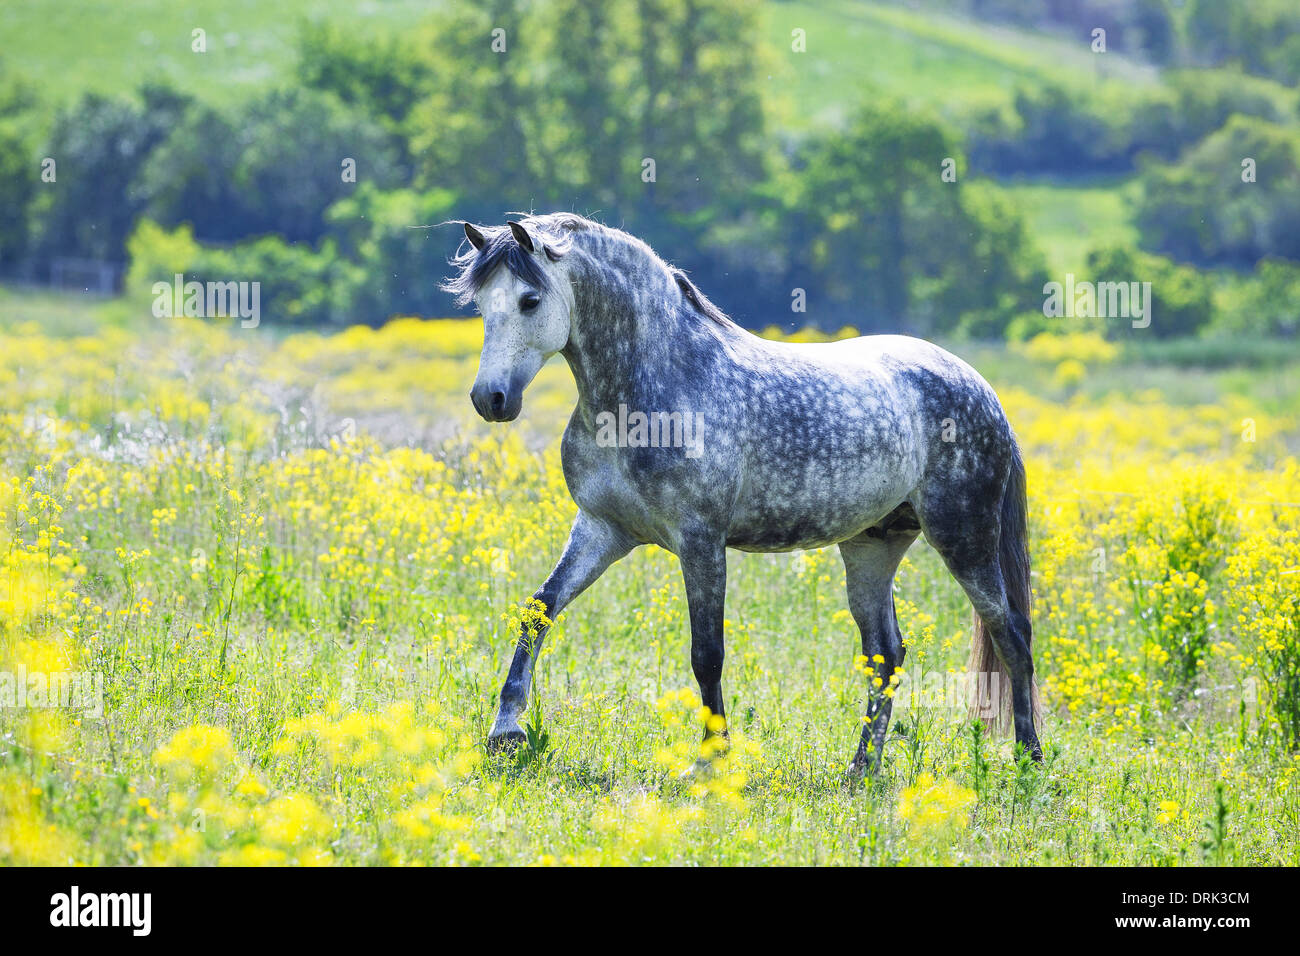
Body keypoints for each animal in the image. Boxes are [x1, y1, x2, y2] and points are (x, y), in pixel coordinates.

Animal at [443, 213, 1042, 777]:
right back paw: (861, 769)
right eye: (483, 307)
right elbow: (538, 611)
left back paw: (1028, 760)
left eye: (530, 300)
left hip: (964, 538)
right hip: (872, 546)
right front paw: (505, 732)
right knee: (886, 653)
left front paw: (710, 760)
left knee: (1011, 634)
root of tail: (980, 388)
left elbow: (706, 654)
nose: (490, 399)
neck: (652, 388)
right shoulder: (602, 529)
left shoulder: (700, 542)